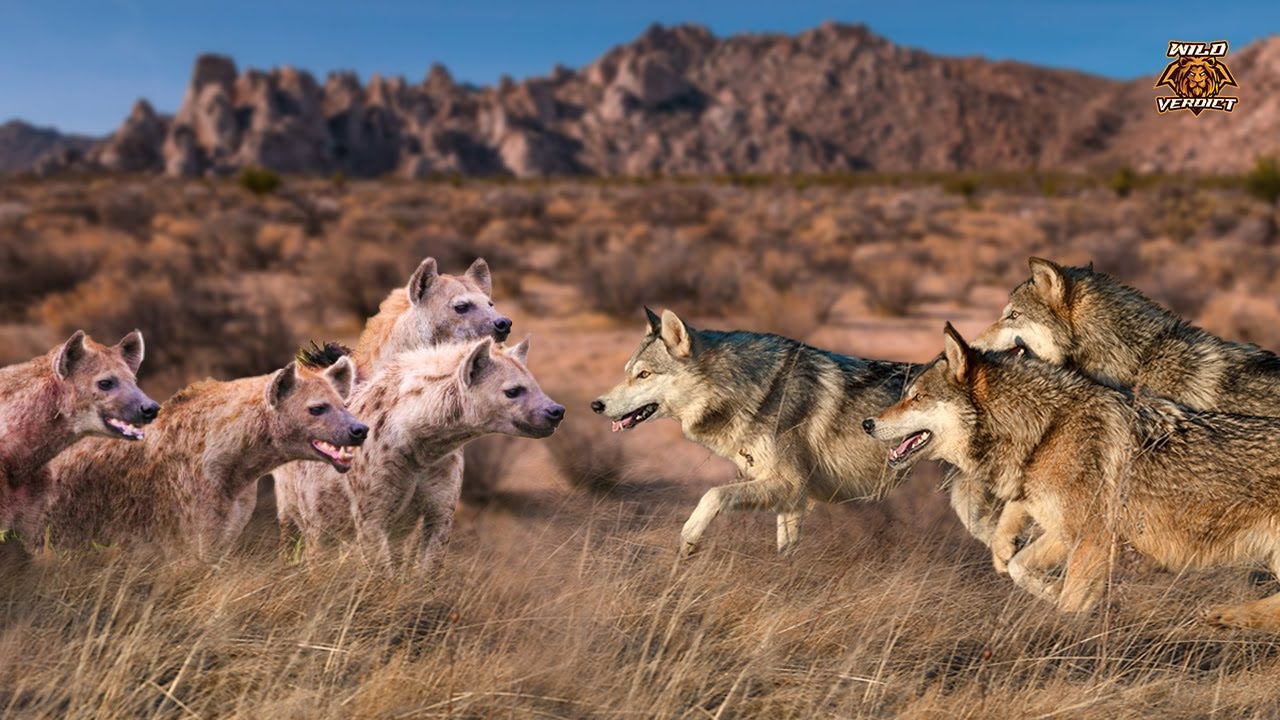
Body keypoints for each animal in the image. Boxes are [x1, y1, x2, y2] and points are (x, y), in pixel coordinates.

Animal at [275, 338, 564, 569]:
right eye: (513, 391)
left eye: (535, 385)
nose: (557, 411)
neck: (422, 446)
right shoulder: (371, 514)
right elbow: (380, 573)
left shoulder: (441, 507)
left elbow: (429, 567)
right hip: (300, 511)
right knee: (306, 544)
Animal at [592, 308, 919, 556]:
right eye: (628, 373)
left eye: (644, 375)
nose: (596, 404)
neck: (745, 389)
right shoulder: (792, 500)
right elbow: (786, 551)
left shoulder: (791, 485)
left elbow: (712, 494)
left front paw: (688, 540)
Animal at [865, 324, 1280, 628]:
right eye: (907, 394)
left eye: (917, 397)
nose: (867, 423)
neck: (1046, 430)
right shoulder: (1063, 530)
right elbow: (1019, 566)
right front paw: (1049, 591)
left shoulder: (1093, 538)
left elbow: (1068, 598)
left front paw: (1065, 628)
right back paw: (1225, 617)